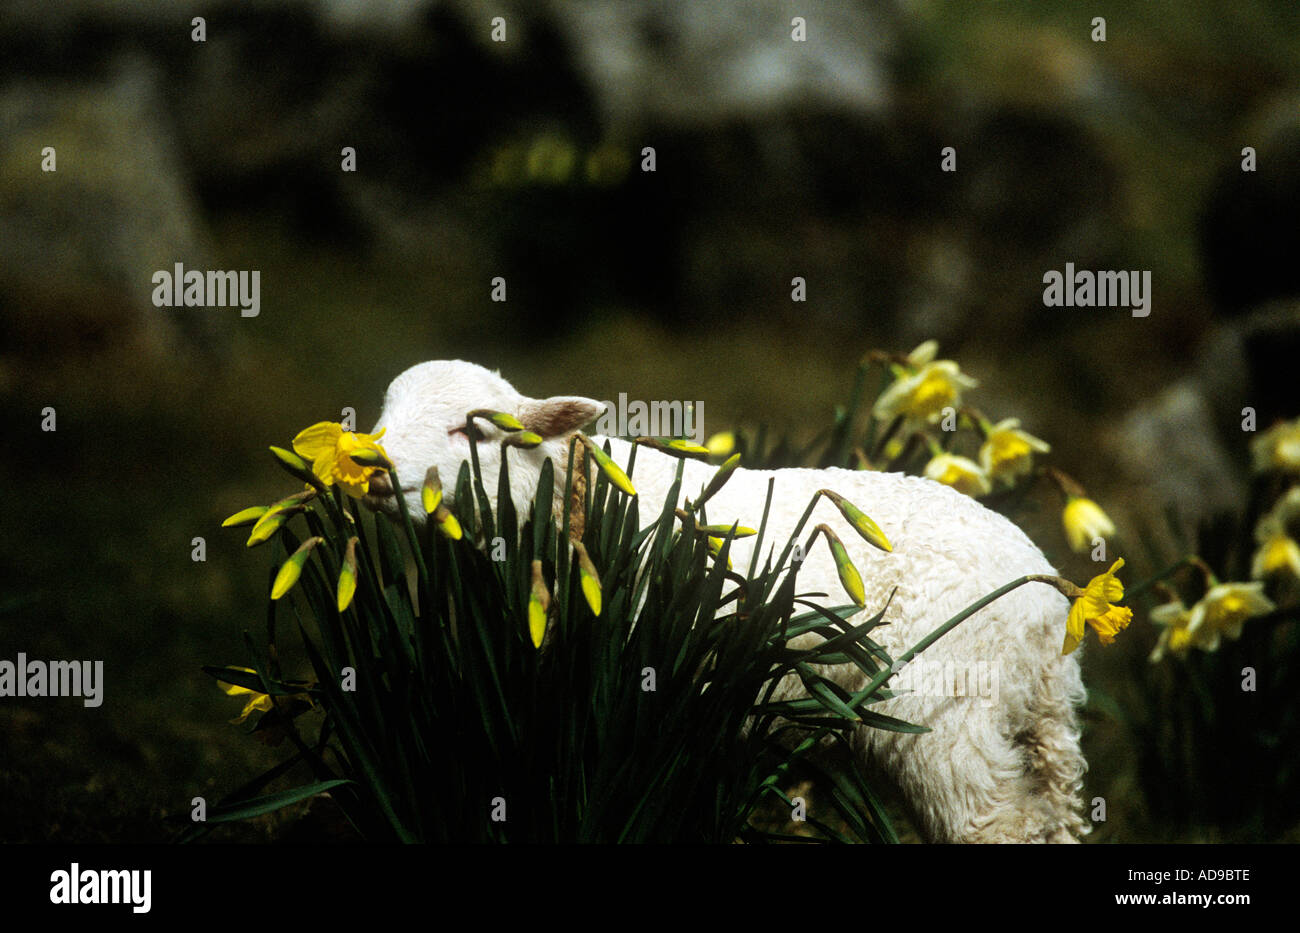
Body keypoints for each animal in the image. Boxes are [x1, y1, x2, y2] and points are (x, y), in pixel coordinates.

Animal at [364, 359, 1089, 843]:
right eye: (382, 418)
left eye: (472, 432)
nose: (372, 472)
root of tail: (1048, 602)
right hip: (1014, 715)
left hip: (946, 705)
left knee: (996, 823)